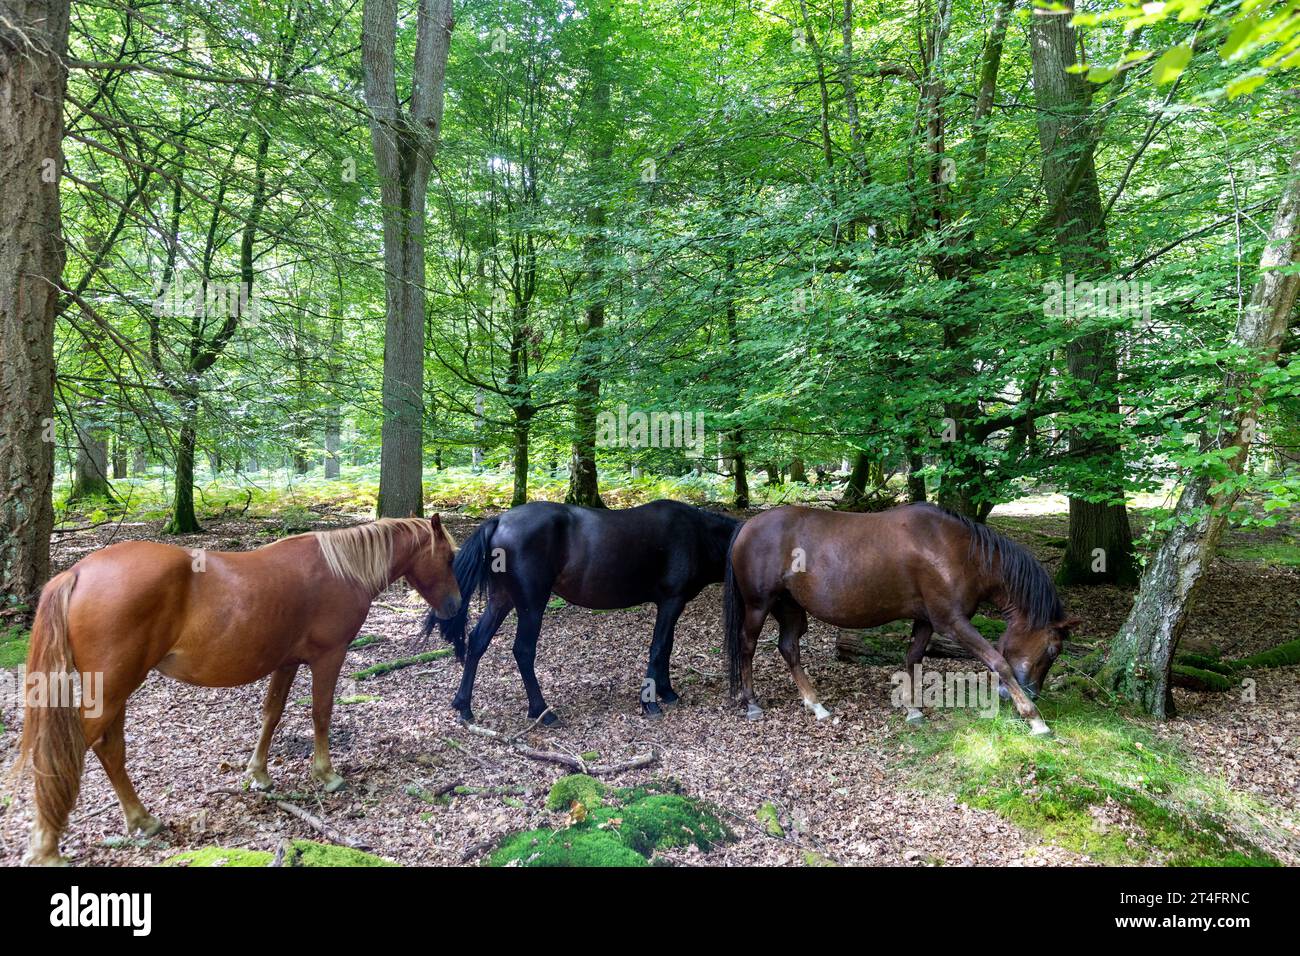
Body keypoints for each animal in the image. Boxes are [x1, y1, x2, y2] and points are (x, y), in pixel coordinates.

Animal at [12, 515, 460, 866]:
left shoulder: (286, 662)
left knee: (110, 750)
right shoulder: (328, 656)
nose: (456, 607)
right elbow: (321, 712)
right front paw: (326, 774)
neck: (342, 569)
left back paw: (141, 819)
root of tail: (77, 573)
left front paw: (259, 773)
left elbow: (272, 713)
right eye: (450, 557)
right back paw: (47, 847)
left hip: (113, 692)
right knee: (69, 753)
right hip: (110, 692)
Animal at [429, 500, 740, 723]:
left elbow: (667, 647)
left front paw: (666, 691)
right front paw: (650, 702)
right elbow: (659, 647)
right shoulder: (671, 601)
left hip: (501, 599)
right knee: (523, 651)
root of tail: (499, 521)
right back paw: (541, 711)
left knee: (478, 641)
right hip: (531, 605)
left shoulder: (673, 604)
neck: (698, 535)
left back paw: (464, 706)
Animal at [723, 503, 1077, 735]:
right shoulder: (952, 622)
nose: (1031, 694)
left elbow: (913, 659)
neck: (956, 551)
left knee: (789, 648)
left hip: (791, 608)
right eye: (1053, 651)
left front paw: (912, 709)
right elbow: (998, 662)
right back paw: (752, 703)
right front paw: (1034, 718)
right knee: (747, 646)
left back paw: (815, 704)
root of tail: (745, 527)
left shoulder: (927, 621)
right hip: (758, 606)